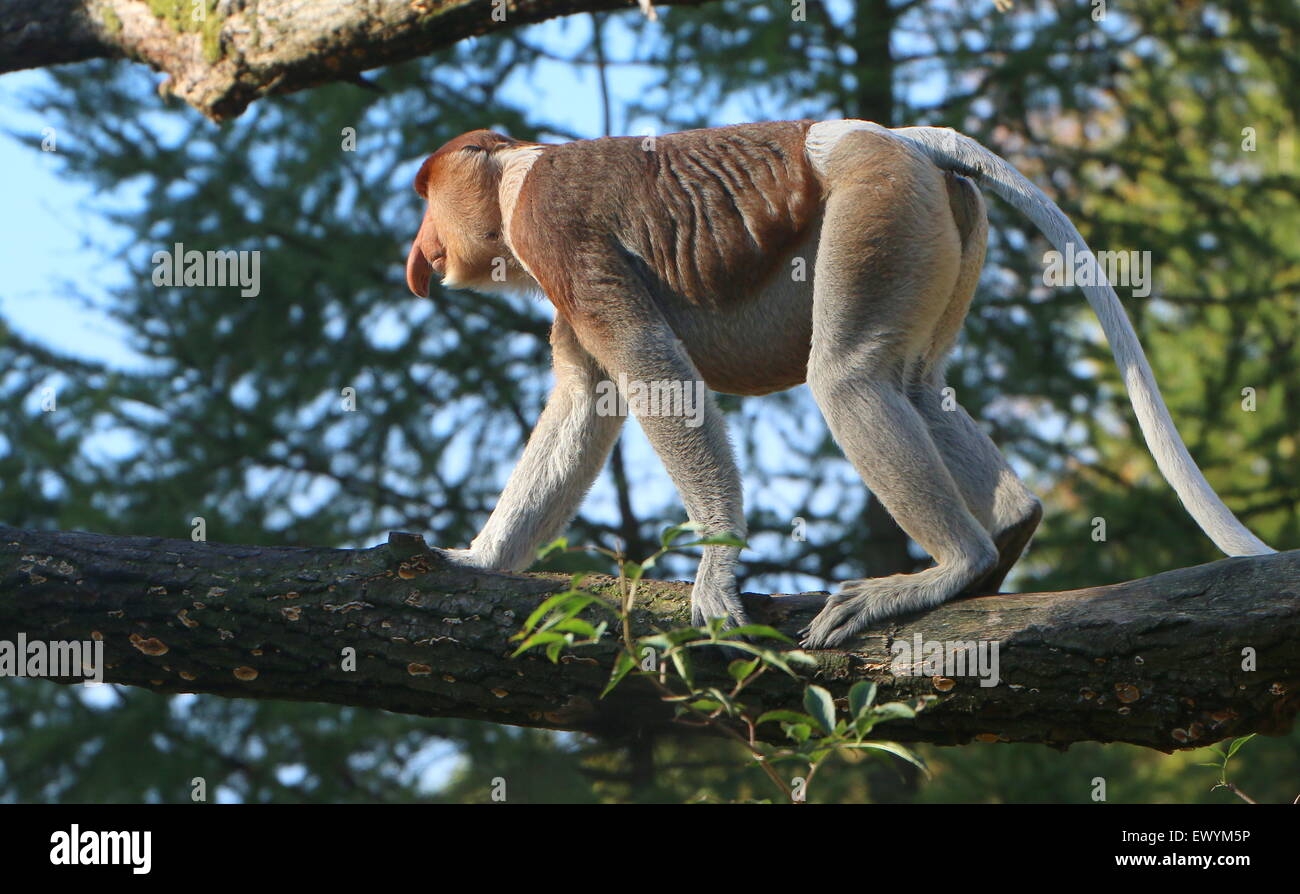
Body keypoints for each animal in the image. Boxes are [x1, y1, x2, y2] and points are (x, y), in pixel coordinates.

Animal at [405, 120, 1275, 649]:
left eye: (425, 195)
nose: (419, 255)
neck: (519, 174)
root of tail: (896, 137)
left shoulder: (558, 232)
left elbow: (656, 377)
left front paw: (717, 570)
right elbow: (585, 400)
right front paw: (478, 559)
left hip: (879, 204)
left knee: (849, 378)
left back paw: (951, 564)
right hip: (943, 225)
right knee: (918, 385)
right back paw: (1007, 532)